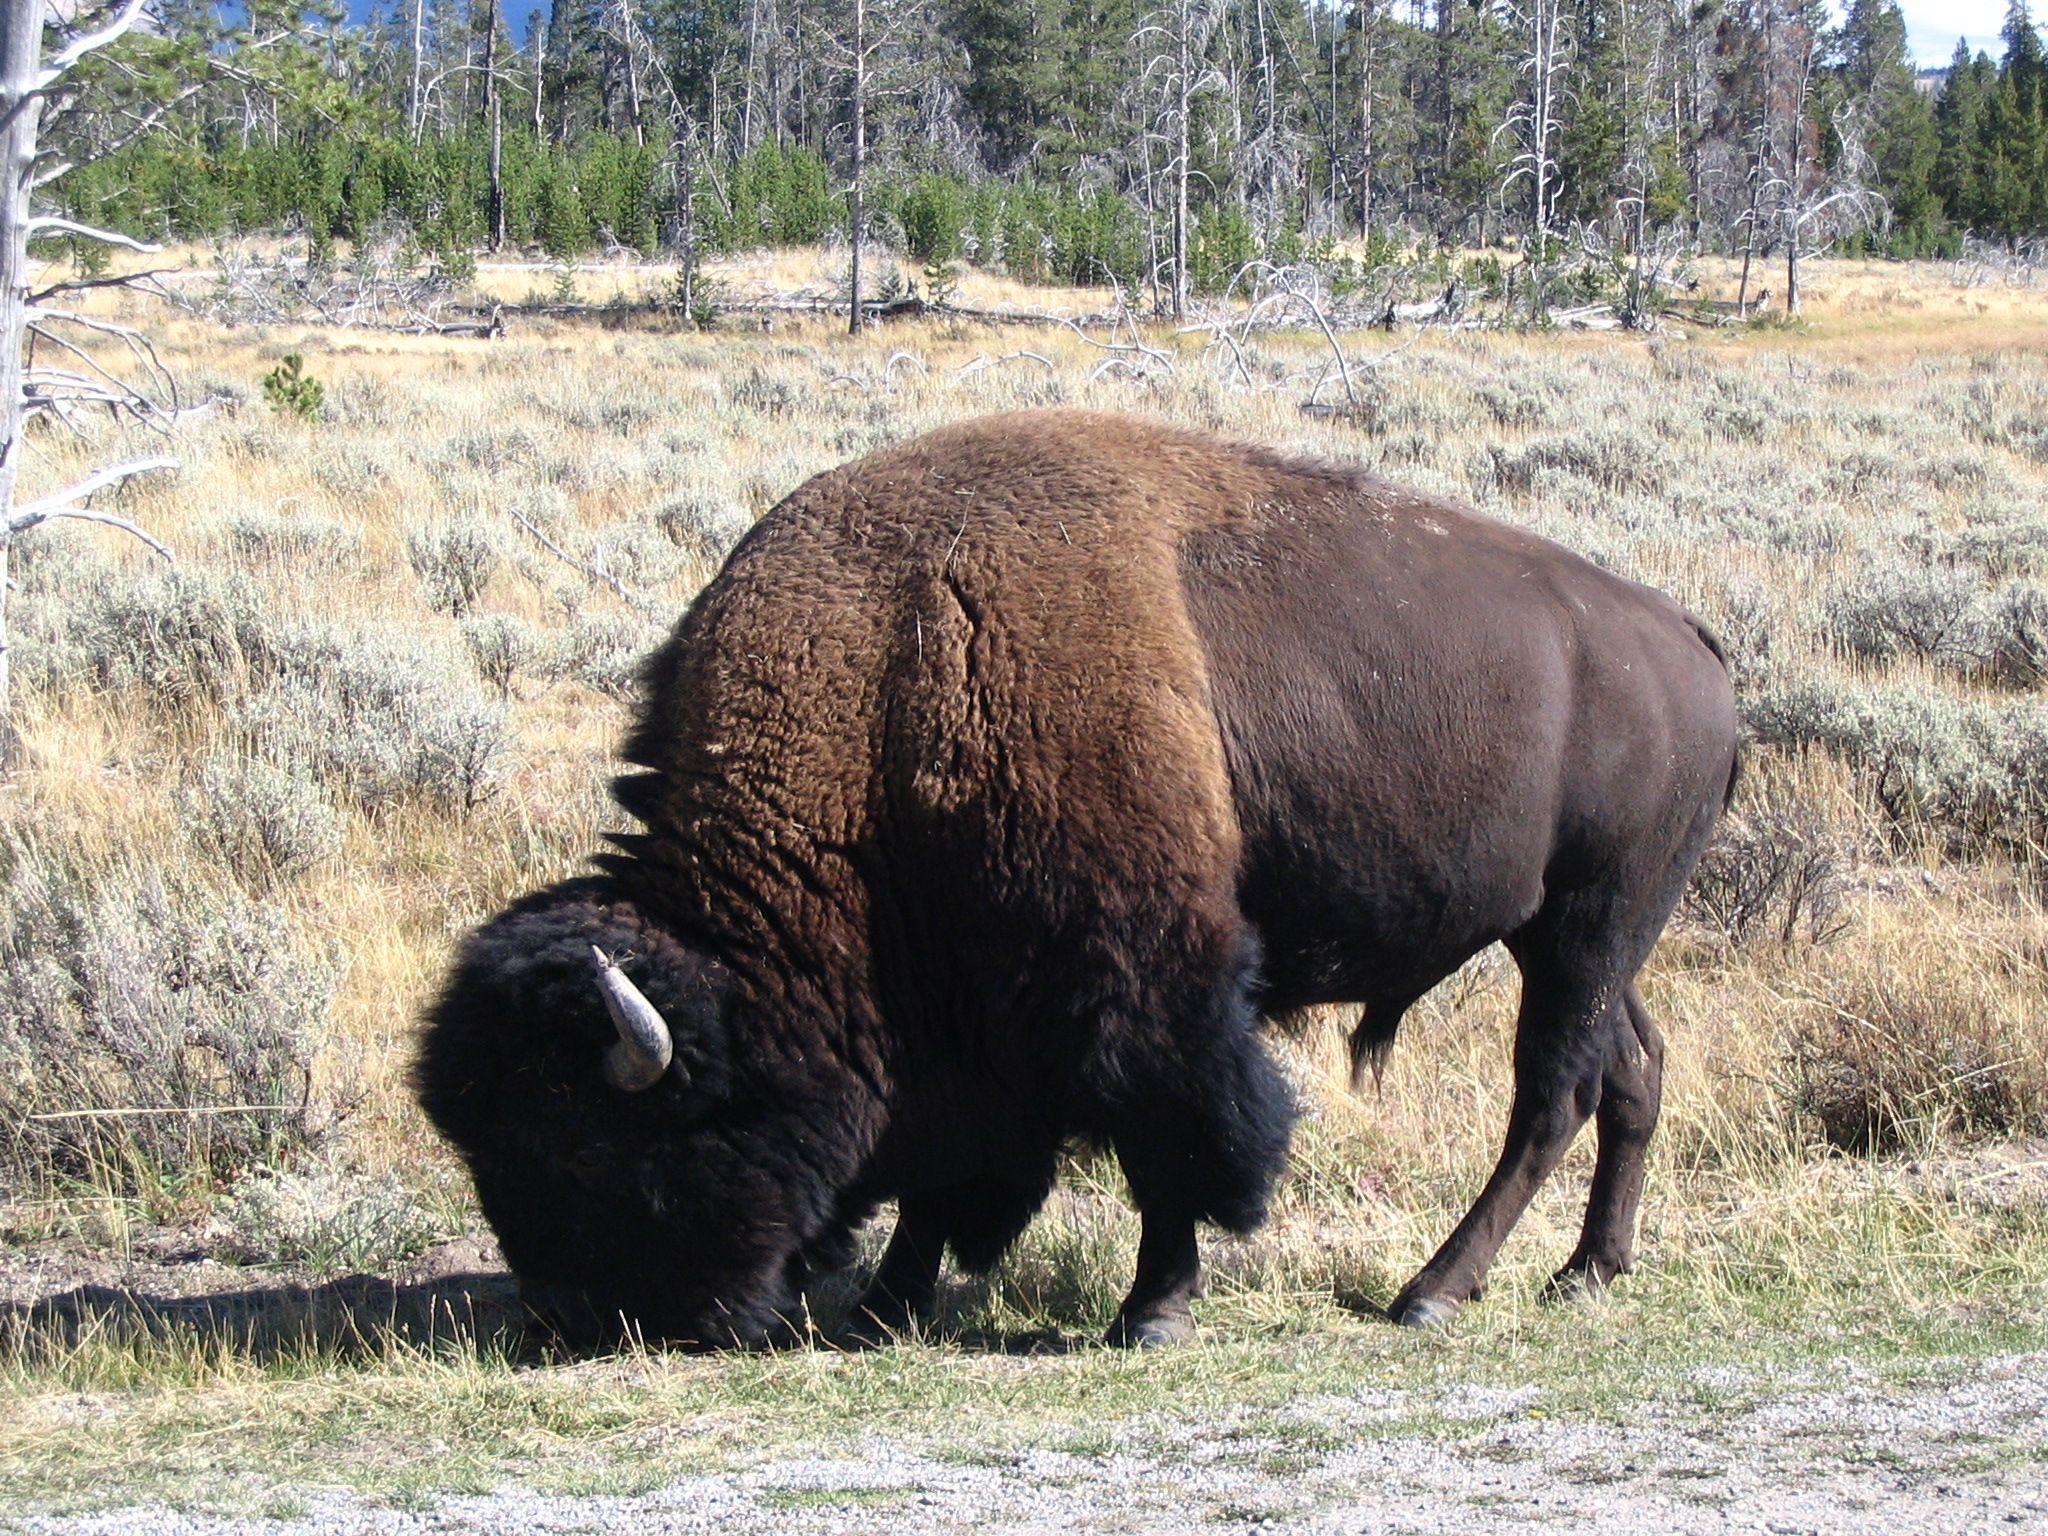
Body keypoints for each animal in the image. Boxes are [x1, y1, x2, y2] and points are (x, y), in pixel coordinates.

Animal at [416, 409, 1738, 1348]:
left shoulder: (1139, 985)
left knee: (1550, 1094)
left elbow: (1171, 1143)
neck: (895, 679)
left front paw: (1148, 1312)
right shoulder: (968, 1024)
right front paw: (889, 1304)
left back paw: (1432, 1290)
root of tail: (1686, 641)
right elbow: (951, 1163)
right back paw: (1584, 1273)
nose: (571, 1320)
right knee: (1631, 1069)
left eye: (584, 1146)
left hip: (1588, 920)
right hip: (1571, 934)